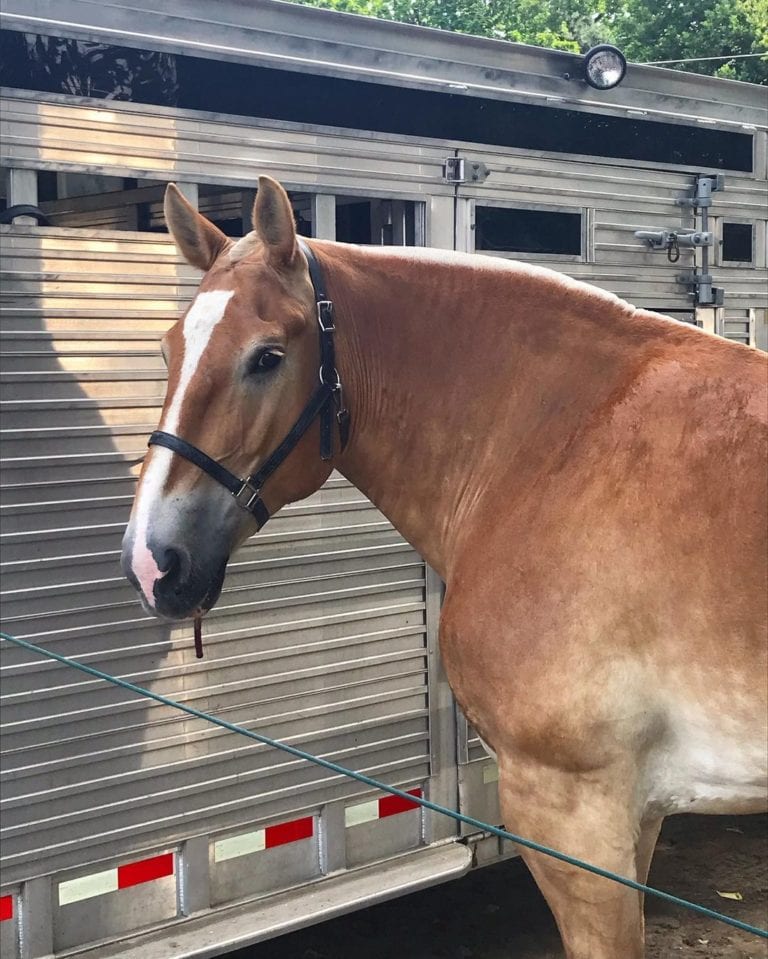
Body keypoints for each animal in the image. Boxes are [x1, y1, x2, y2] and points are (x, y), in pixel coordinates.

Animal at [121, 176, 768, 958]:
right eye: (167, 350)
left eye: (266, 357)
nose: (152, 560)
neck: (555, 442)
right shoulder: (633, 812)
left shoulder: (574, 810)